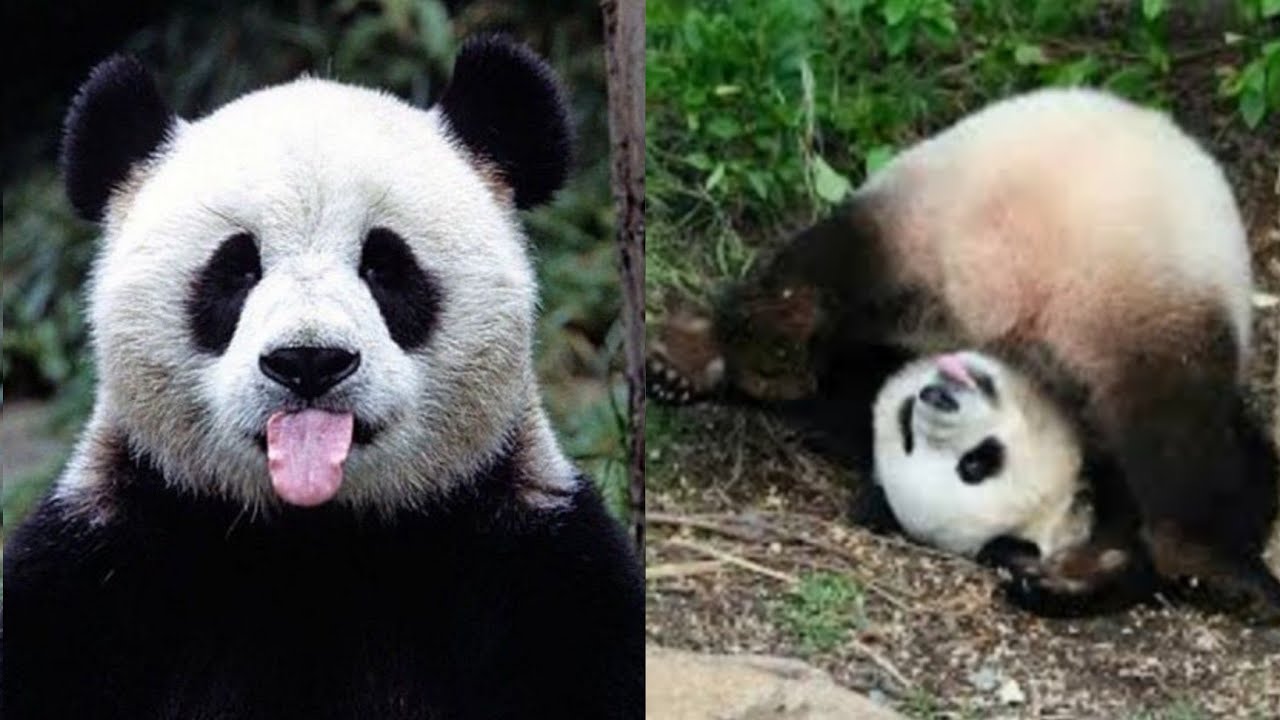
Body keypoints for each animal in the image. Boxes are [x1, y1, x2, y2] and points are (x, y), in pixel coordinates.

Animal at [3, 37, 642, 719]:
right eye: (237, 269)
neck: (317, 536)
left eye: (385, 265)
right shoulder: (95, 577)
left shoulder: (538, 572)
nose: (308, 360)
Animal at [648, 87, 1280, 621]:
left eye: (977, 462)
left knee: (823, 275)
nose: (938, 395)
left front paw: (1069, 579)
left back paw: (749, 355)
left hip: (929, 231)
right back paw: (1208, 560)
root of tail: (1010, 285)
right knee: (1176, 425)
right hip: (1084, 283)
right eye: (914, 435)